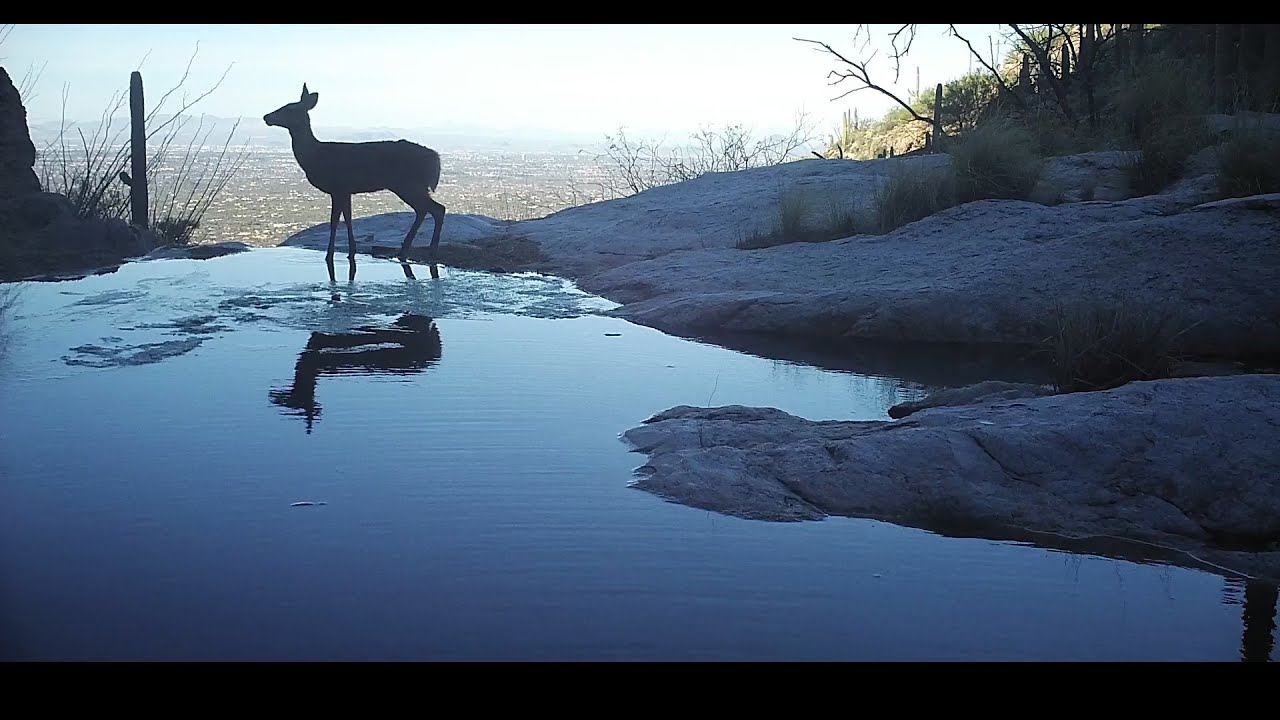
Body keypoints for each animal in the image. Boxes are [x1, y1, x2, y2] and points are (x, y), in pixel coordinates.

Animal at [264, 84, 446, 265]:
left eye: (289, 109)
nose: (266, 117)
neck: (313, 156)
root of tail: (435, 158)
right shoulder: (346, 190)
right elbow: (348, 219)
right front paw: (351, 252)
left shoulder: (337, 187)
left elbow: (335, 221)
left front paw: (330, 255)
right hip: (409, 185)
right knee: (426, 209)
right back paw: (409, 250)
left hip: (408, 183)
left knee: (435, 208)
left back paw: (428, 250)